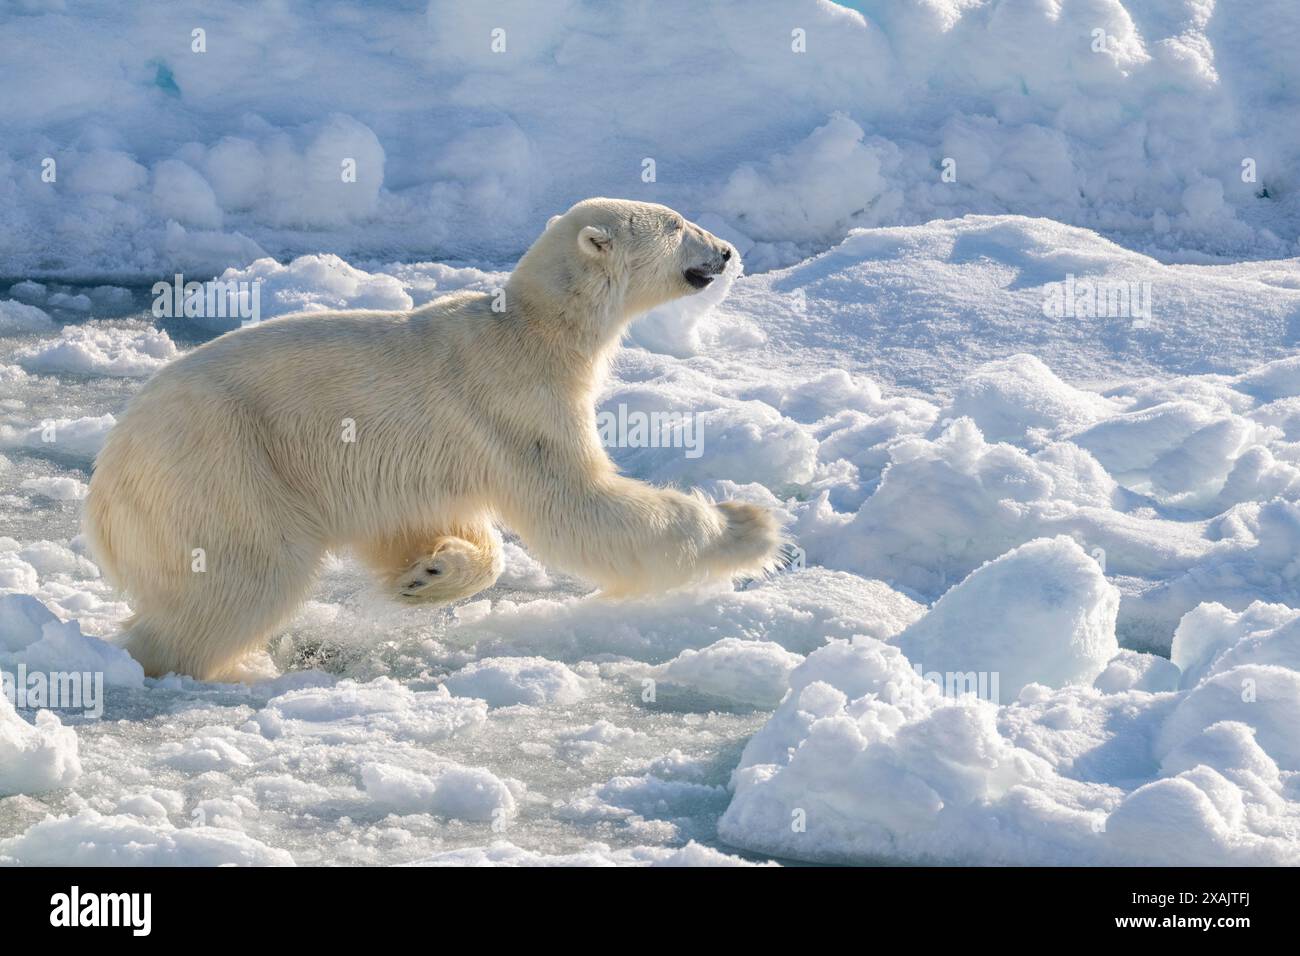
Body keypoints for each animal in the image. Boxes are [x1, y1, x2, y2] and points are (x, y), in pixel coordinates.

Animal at [85, 198, 783, 680]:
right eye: (676, 224)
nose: (725, 251)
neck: (537, 327)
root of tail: (105, 490)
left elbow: (428, 525)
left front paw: (425, 573)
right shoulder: (514, 401)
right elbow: (577, 505)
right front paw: (748, 525)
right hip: (223, 459)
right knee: (244, 573)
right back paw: (216, 665)